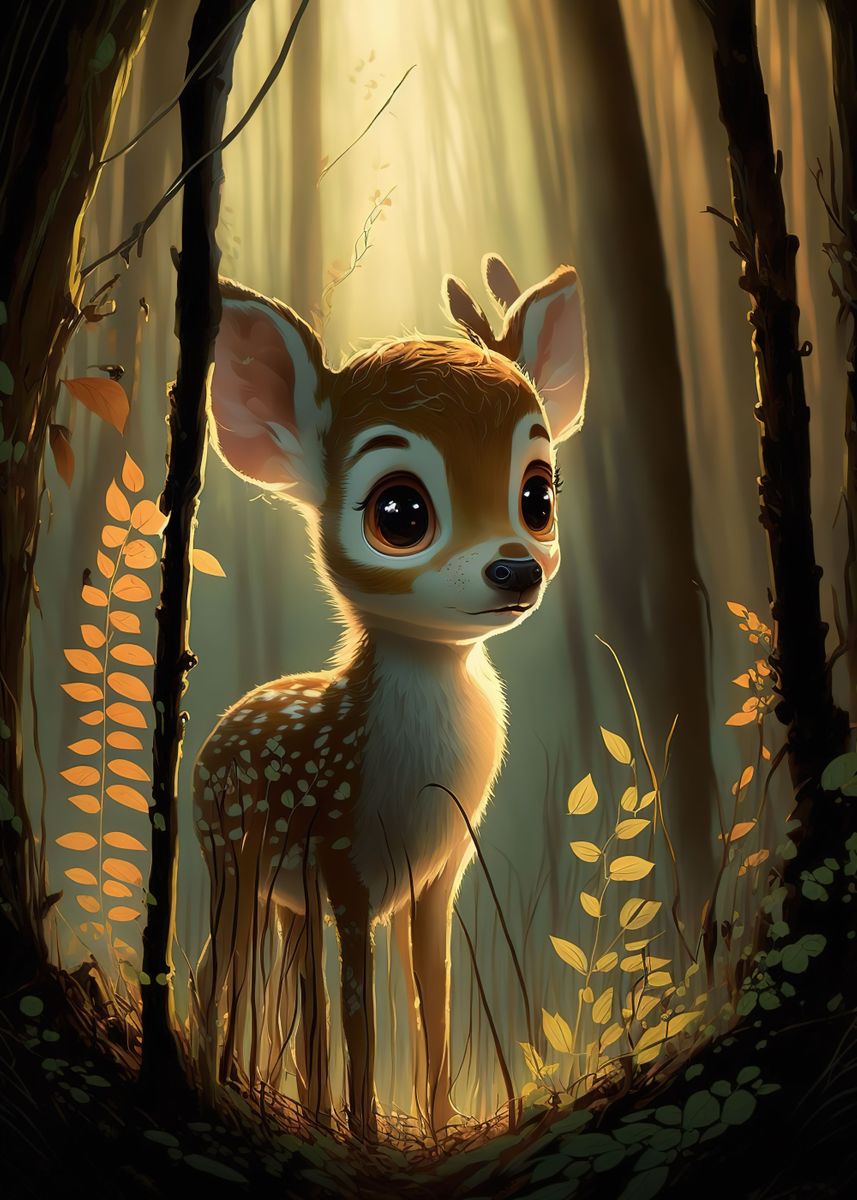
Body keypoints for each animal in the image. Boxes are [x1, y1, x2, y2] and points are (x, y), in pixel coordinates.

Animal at [193, 252, 589, 1139]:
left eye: (538, 495)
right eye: (399, 511)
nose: (516, 568)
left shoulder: (440, 872)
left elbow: (429, 1007)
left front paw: (438, 1130)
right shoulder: (346, 864)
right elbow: (361, 1020)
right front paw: (371, 1137)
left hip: (284, 894)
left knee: (291, 994)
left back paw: (293, 1109)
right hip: (228, 856)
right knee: (215, 970)